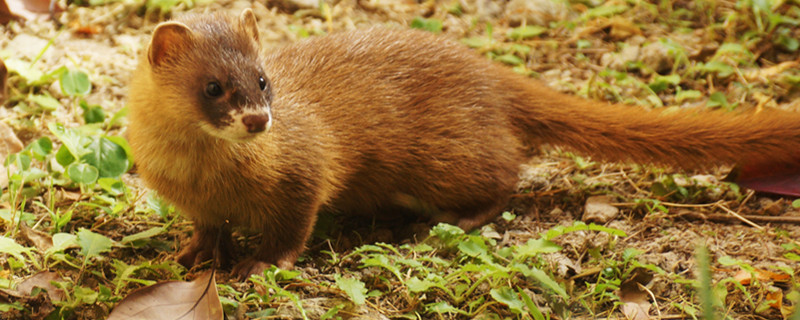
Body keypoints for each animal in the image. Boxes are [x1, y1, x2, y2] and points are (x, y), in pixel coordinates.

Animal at [128, 8, 800, 276]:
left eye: (264, 78)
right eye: (214, 86)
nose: (260, 120)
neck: (204, 175)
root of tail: (488, 72)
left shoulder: (304, 175)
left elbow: (294, 227)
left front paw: (261, 263)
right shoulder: (190, 198)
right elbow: (206, 229)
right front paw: (188, 254)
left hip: (443, 159)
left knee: (506, 176)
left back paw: (442, 223)